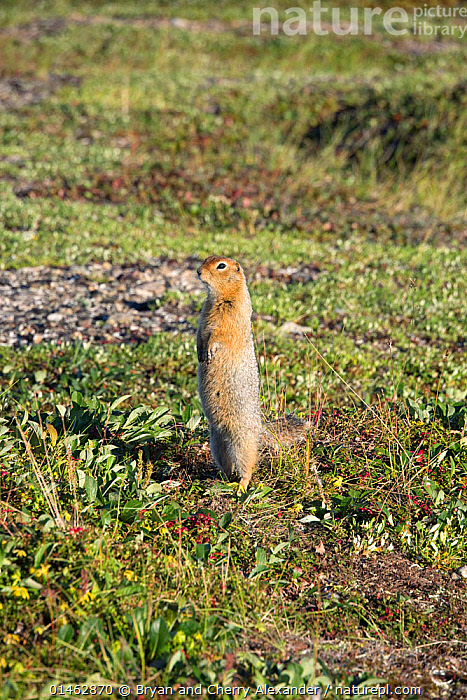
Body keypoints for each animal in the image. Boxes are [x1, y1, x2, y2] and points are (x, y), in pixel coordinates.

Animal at [196, 255, 310, 489]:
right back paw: (220, 479)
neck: (220, 297)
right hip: (217, 442)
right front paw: (199, 351)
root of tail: (259, 429)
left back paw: (241, 486)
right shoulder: (203, 316)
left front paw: (209, 350)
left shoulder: (230, 318)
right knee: (227, 465)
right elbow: (200, 333)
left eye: (221, 266)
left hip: (242, 442)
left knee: (248, 465)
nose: (198, 272)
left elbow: (218, 335)